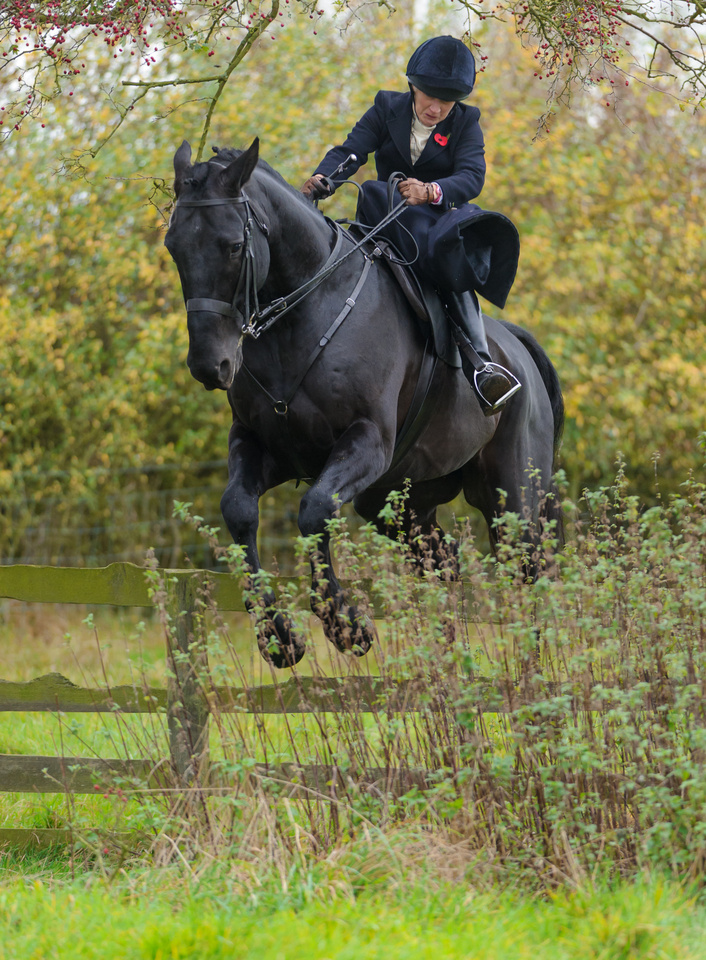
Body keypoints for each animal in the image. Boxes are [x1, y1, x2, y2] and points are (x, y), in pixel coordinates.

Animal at [164, 138, 564, 668]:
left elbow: (313, 511)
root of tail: (514, 346)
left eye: (232, 245)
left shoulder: (365, 442)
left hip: (511, 496)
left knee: (528, 568)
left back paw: (532, 669)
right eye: (173, 246)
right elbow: (238, 510)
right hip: (399, 499)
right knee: (441, 560)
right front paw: (278, 636)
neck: (303, 314)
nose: (211, 366)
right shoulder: (263, 446)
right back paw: (446, 662)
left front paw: (346, 626)